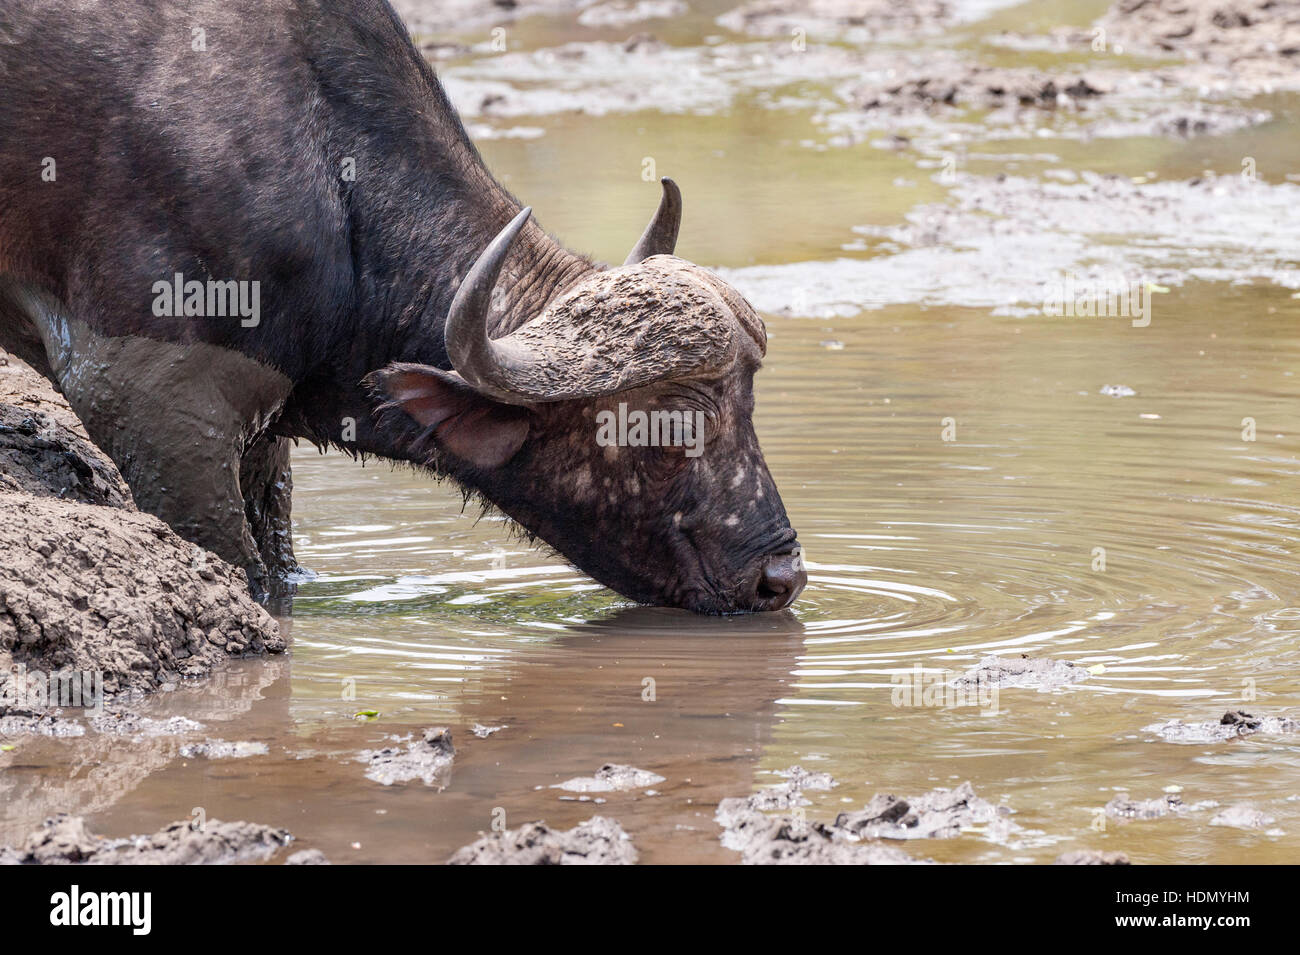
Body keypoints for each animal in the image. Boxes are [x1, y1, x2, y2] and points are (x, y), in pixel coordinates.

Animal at [0, 0, 806, 613]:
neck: (331, 174)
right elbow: (236, 564)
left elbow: (277, 557)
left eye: (750, 408)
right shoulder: (153, 400)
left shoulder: (260, 423)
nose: (780, 578)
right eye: (668, 430)